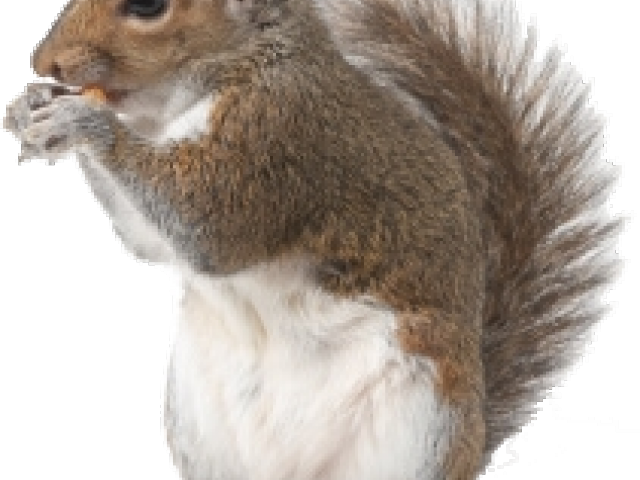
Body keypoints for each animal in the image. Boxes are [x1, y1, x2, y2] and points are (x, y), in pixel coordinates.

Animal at [2, 0, 628, 479]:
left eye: (149, 6)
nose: (44, 63)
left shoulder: (284, 132)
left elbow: (212, 226)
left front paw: (84, 124)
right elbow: (153, 242)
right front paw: (30, 106)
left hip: (420, 425)